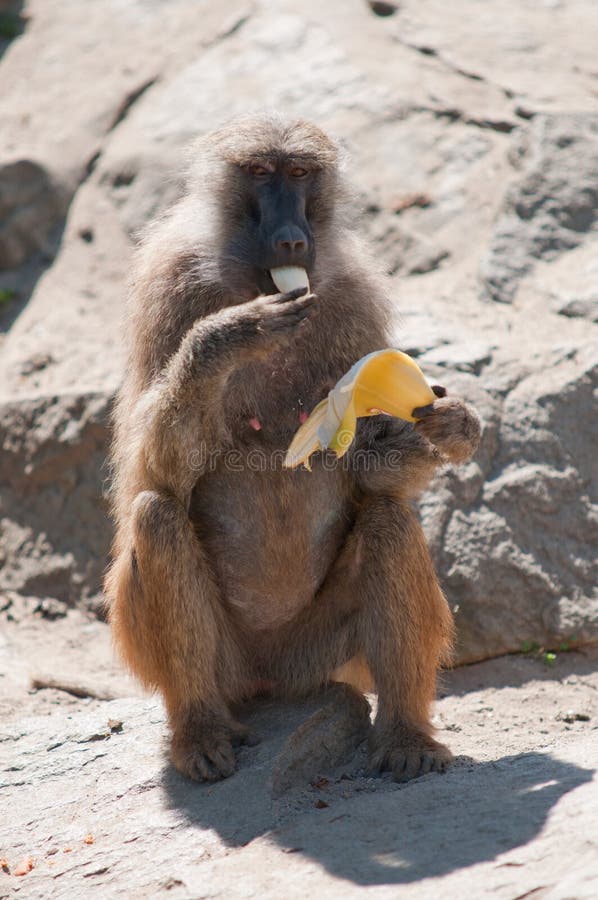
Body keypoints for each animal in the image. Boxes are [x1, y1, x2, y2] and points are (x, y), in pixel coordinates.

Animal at [105, 114, 481, 784]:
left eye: (301, 173)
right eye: (260, 172)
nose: (290, 240)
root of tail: (267, 676)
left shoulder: (356, 299)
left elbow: (370, 472)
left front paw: (449, 425)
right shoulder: (167, 282)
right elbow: (152, 471)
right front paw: (231, 334)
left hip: (316, 656)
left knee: (389, 523)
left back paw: (404, 735)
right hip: (218, 661)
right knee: (157, 515)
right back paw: (200, 729)